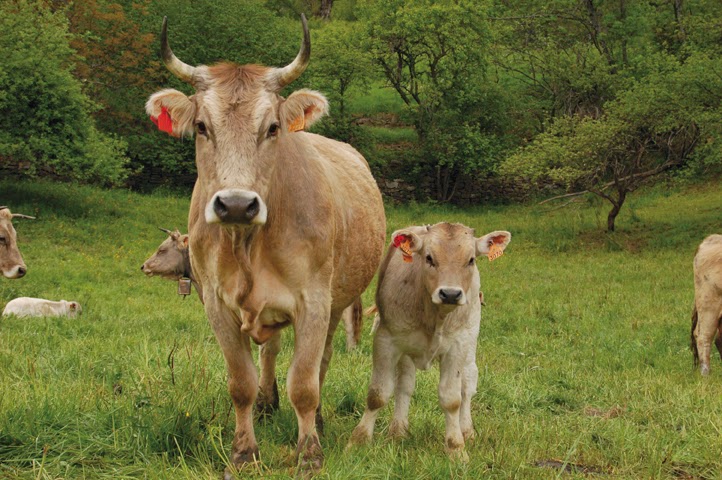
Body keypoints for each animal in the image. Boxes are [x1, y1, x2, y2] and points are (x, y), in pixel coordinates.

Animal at [145, 15, 386, 474]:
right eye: (201, 127)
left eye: (272, 127)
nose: (237, 204)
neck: (247, 246)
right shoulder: (215, 303)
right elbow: (241, 382)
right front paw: (243, 451)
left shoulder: (314, 301)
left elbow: (305, 383)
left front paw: (309, 453)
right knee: (270, 352)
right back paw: (266, 404)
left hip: (337, 302)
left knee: (321, 362)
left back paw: (316, 420)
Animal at [348, 223, 511, 460]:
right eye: (429, 257)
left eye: (471, 259)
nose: (450, 294)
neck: (434, 316)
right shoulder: (387, 340)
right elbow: (378, 393)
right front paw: (359, 440)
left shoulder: (456, 348)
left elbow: (452, 399)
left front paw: (456, 448)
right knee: (405, 384)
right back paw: (398, 431)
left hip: (470, 341)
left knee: (468, 384)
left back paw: (467, 431)